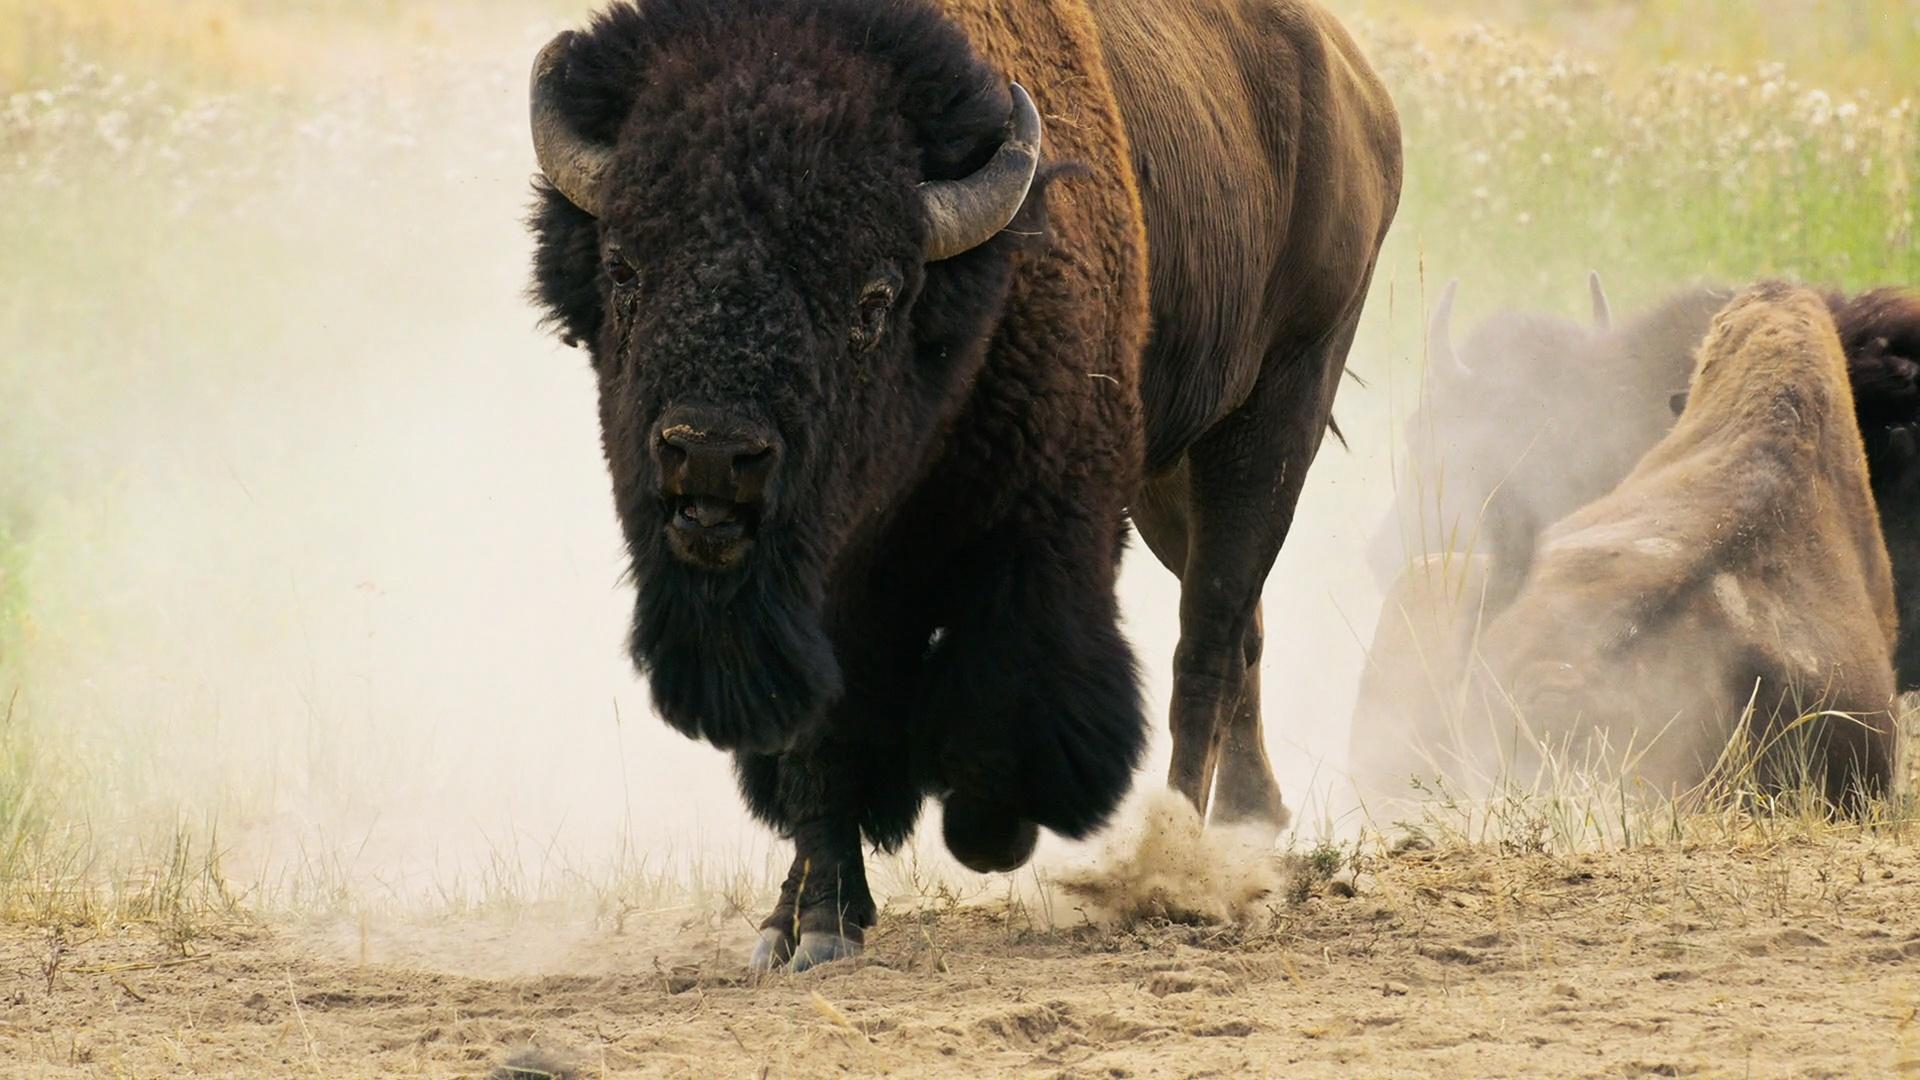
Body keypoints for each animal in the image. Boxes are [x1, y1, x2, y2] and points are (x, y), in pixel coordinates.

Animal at [524, 0, 1401, 971]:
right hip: (1176, 480)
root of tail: (1363, 96)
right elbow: (819, 729)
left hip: (1277, 412)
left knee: (1207, 635)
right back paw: (1251, 822)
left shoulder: (1037, 527)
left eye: (872, 299)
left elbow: (999, 685)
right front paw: (804, 923)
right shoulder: (813, 580)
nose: (711, 452)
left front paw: (973, 843)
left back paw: (1171, 869)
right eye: (623, 269)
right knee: (1240, 624)